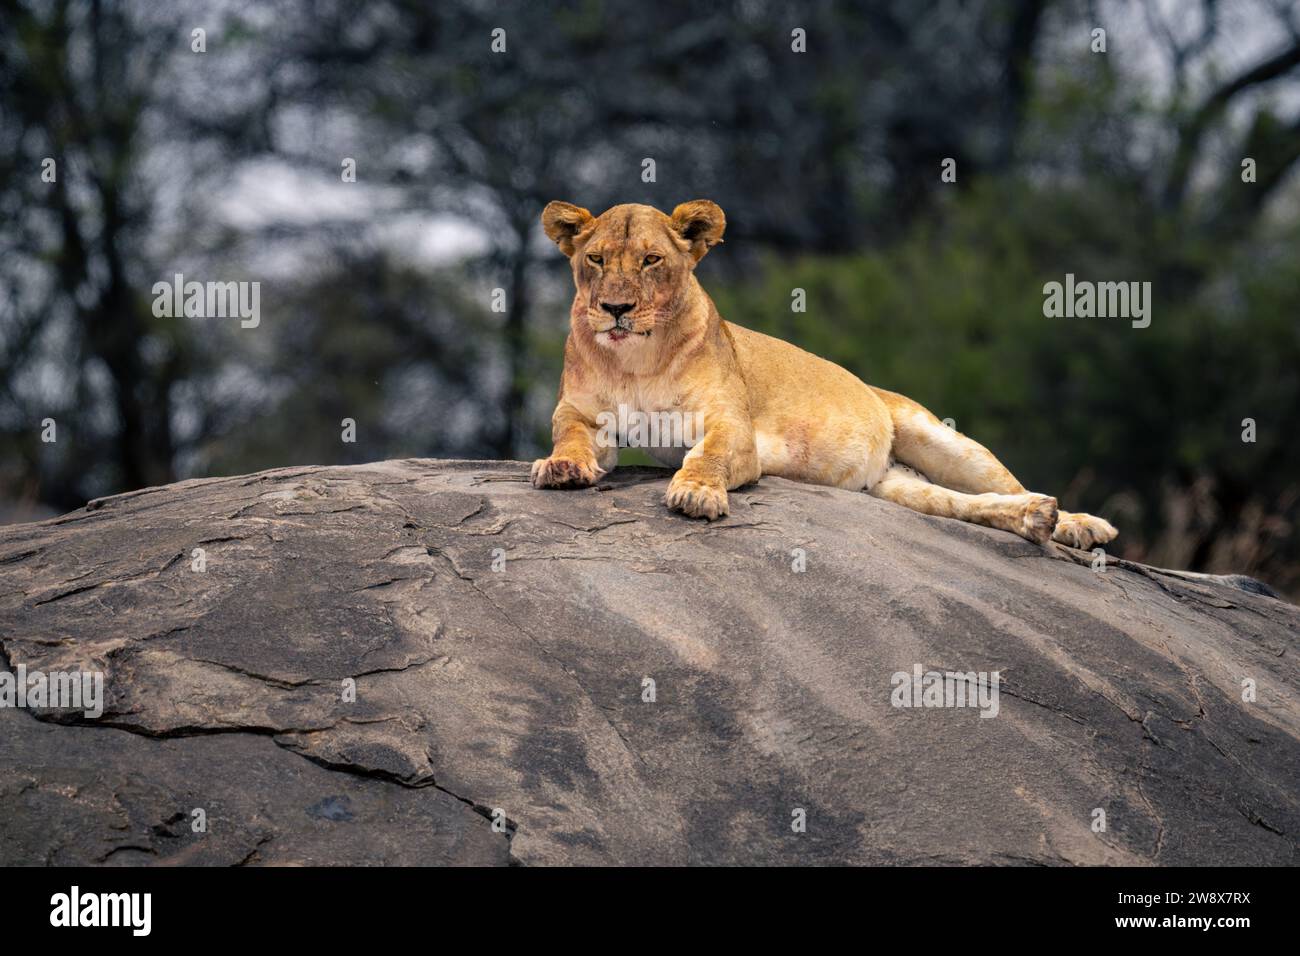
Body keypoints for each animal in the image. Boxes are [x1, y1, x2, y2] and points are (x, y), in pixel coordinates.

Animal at [531, 199, 1118, 550]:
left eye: (652, 260)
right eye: (597, 259)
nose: (615, 309)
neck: (637, 359)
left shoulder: (732, 426)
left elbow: (708, 455)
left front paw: (695, 494)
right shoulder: (582, 413)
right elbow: (571, 438)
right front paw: (561, 467)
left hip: (941, 438)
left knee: (1005, 482)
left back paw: (1077, 525)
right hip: (895, 488)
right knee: (963, 505)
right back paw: (1034, 519)